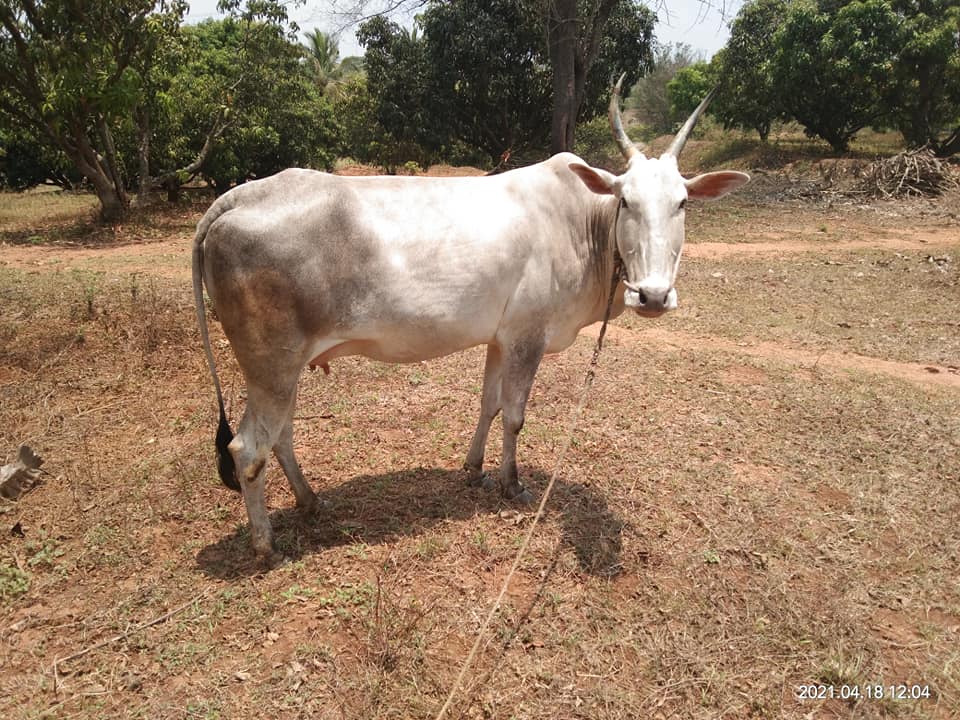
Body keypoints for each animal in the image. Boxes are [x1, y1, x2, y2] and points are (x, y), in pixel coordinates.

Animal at [192, 79, 749, 564]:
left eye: (682, 202)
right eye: (626, 200)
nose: (652, 295)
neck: (581, 224)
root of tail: (237, 196)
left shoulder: (500, 339)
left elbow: (488, 404)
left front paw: (475, 469)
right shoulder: (527, 337)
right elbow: (515, 414)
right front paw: (512, 483)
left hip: (281, 370)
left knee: (279, 437)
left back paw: (310, 501)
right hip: (272, 365)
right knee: (247, 449)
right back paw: (266, 547)